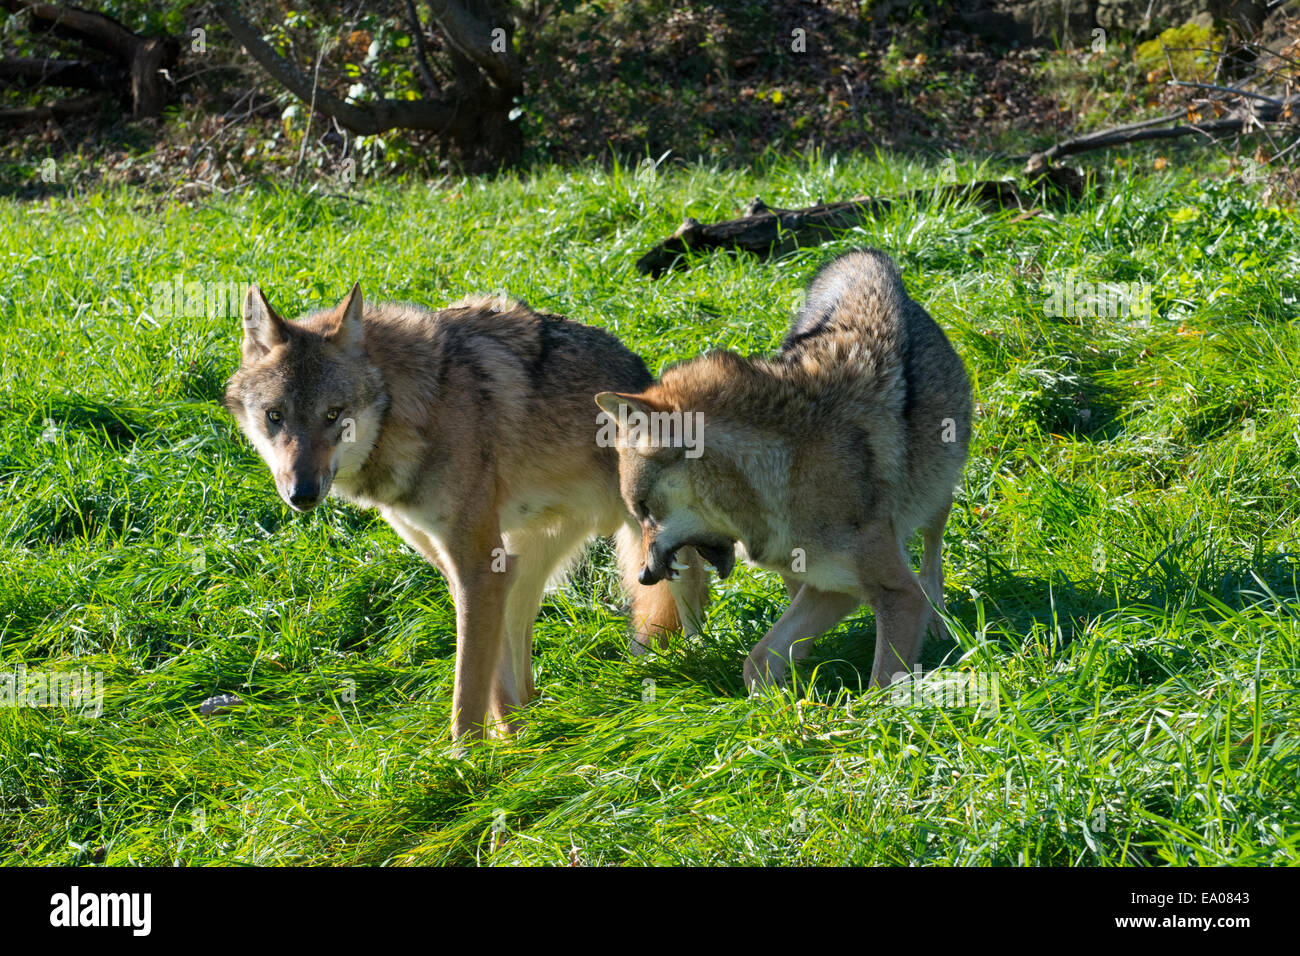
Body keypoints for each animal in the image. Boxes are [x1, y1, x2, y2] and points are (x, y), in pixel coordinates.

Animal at [224, 284, 709, 741]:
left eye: (333, 415)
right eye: (275, 416)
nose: (301, 494)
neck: (415, 406)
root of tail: (645, 378)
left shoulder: (477, 567)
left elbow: (467, 686)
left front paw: (462, 760)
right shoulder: (464, 569)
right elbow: (489, 678)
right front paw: (505, 748)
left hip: (661, 549)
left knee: (693, 611)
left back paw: (703, 668)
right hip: (520, 567)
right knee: (523, 676)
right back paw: (528, 728)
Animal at [595, 249, 971, 691]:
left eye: (645, 510)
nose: (643, 577)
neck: (784, 471)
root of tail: (866, 261)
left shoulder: (897, 592)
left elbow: (882, 685)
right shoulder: (835, 588)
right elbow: (756, 660)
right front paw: (778, 703)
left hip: (936, 495)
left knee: (932, 563)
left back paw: (940, 626)